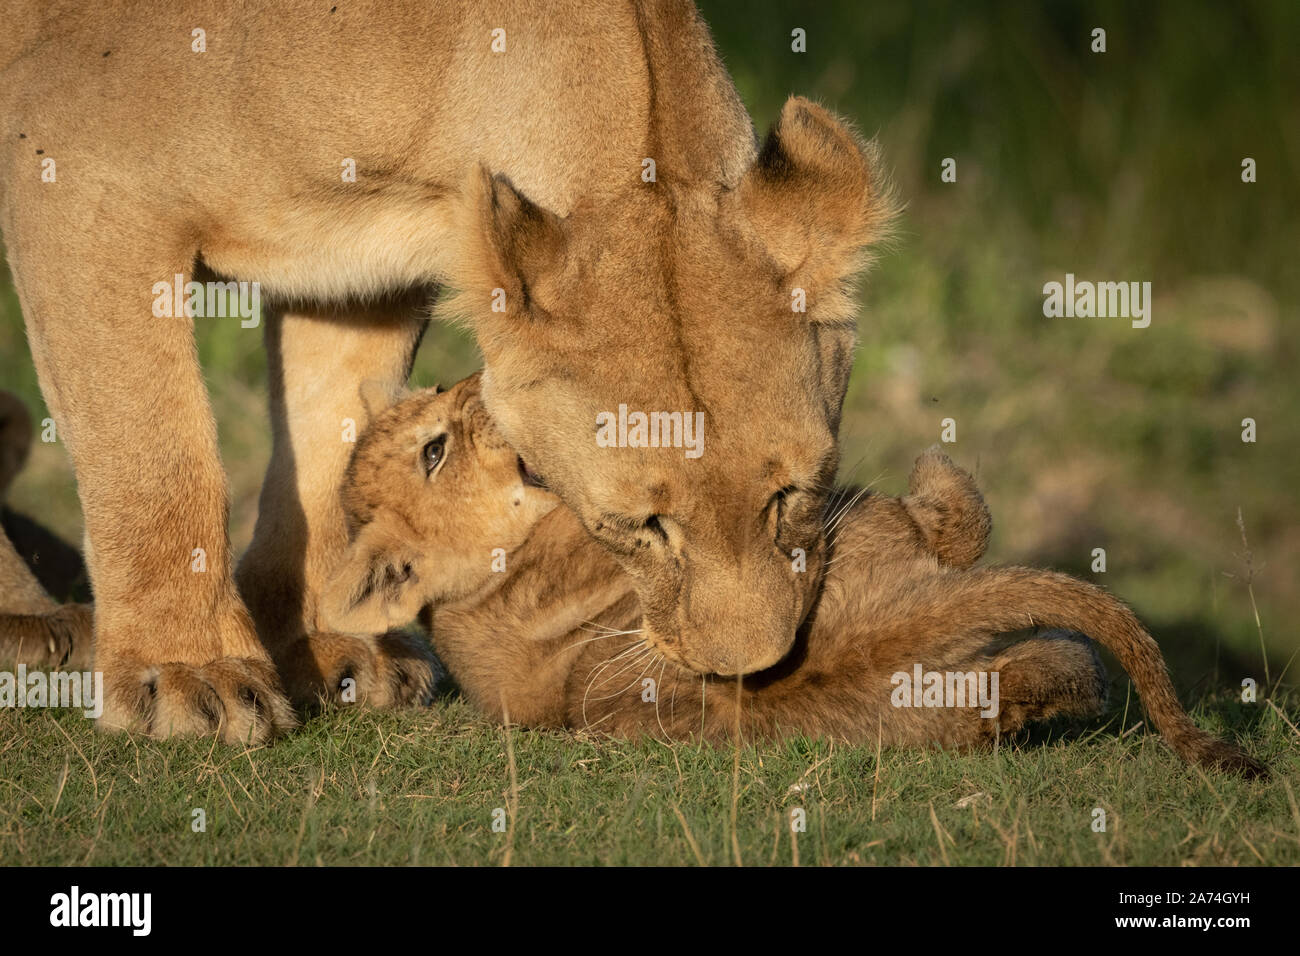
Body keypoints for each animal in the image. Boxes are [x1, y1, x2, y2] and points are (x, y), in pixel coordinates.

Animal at [1, 0, 893, 740]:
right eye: (638, 525)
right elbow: (153, 449)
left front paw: (325, 643)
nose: (751, 671)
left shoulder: (353, 259)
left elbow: (328, 446)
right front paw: (190, 674)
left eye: (793, 494)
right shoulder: (82, 177)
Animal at [322, 375, 1265, 777]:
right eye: (435, 450)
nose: (476, 377)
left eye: (435, 403)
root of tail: (888, 629)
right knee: (965, 534)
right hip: (858, 531)